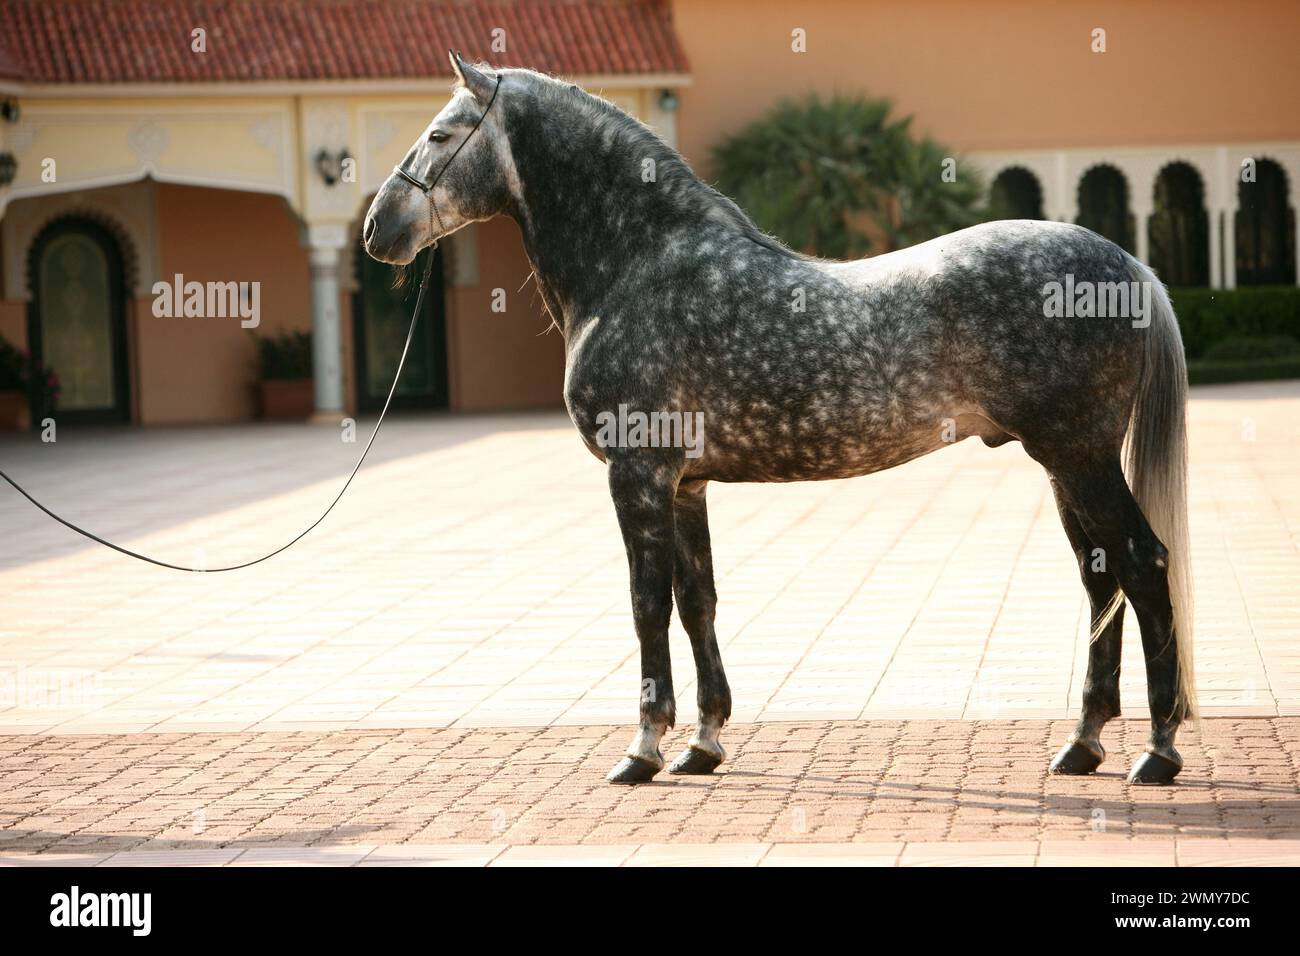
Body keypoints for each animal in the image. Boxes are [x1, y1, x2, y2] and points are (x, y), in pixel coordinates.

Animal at [364, 53, 1196, 786]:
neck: (639, 263)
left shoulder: (638, 476)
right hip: (1061, 463)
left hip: (1081, 458)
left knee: (1142, 564)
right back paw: (1083, 743)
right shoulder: (686, 484)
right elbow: (696, 602)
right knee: (1101, 581)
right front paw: (702, 744)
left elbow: (646, 605)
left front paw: (642, 751)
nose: (377, 229)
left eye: (440, 133)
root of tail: (1132, 265)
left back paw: (1157, 752)